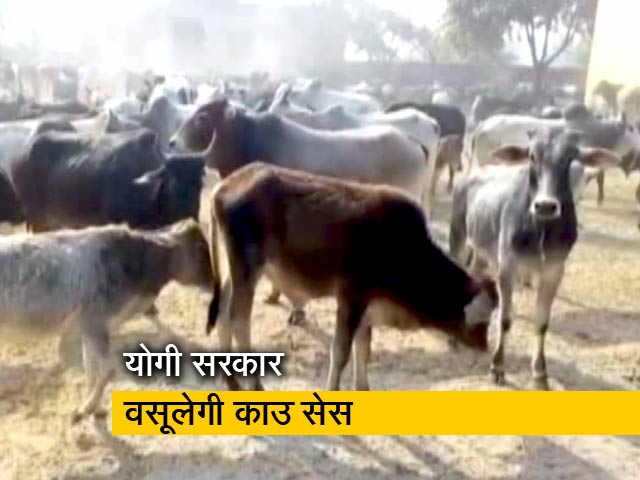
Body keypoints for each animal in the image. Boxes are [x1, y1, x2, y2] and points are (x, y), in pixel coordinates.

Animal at [0, 220, 213, 423]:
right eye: (201, 249)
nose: (213, 282)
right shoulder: (97, 324)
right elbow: (106, 370)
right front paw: (85, 410)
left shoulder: (87, 328)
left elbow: (91, 369)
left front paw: (96, 409)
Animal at [206, 163, 497, 391]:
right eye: (480, 323)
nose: (485, 348)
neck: (403, 247)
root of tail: (225, 186)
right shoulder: (352, 297)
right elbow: (342, 352)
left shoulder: (368, 305)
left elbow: (363, 348)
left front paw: (363, 387)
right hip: (247, 269)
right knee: (238, 320)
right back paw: (254, 384)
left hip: (235, 271)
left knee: (222, 314)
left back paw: (231, 381)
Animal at [450, 130, 620, 389]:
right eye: (531, 156)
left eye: (569, 158)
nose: (546, 206)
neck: (540, 230)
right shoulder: (507, 266)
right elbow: (506, 318)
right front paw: (497, 367)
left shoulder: (554, 270)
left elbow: (541, 322)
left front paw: (540, 373)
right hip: (458, 238)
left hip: (481, 251)